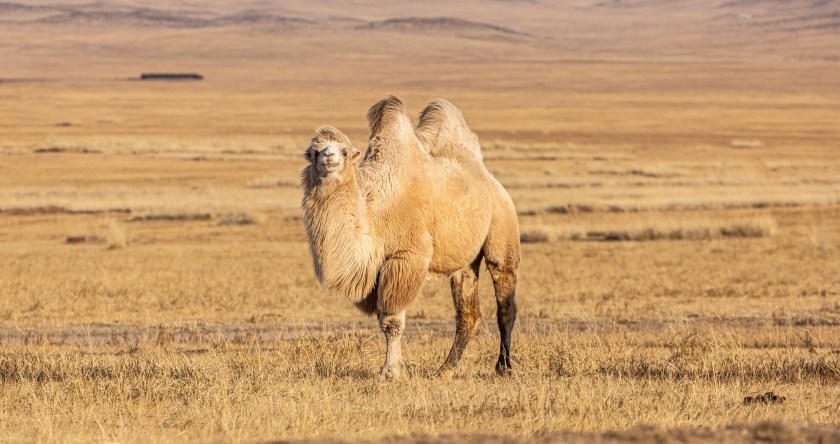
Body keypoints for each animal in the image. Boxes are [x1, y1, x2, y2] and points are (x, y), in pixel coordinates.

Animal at [301, 96, 519, 379]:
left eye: (345, 151)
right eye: (315, 151)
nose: (329, 157)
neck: (374, 211)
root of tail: (490, 181)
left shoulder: (405, 258)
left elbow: (392, 321)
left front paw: (391, 371)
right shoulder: (376, 273)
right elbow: (383, 320)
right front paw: (395, 368)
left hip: (502, 227)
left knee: (505, 303)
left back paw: (503, 368)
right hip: (464, 262)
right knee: (468, 313)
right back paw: (445, 370)